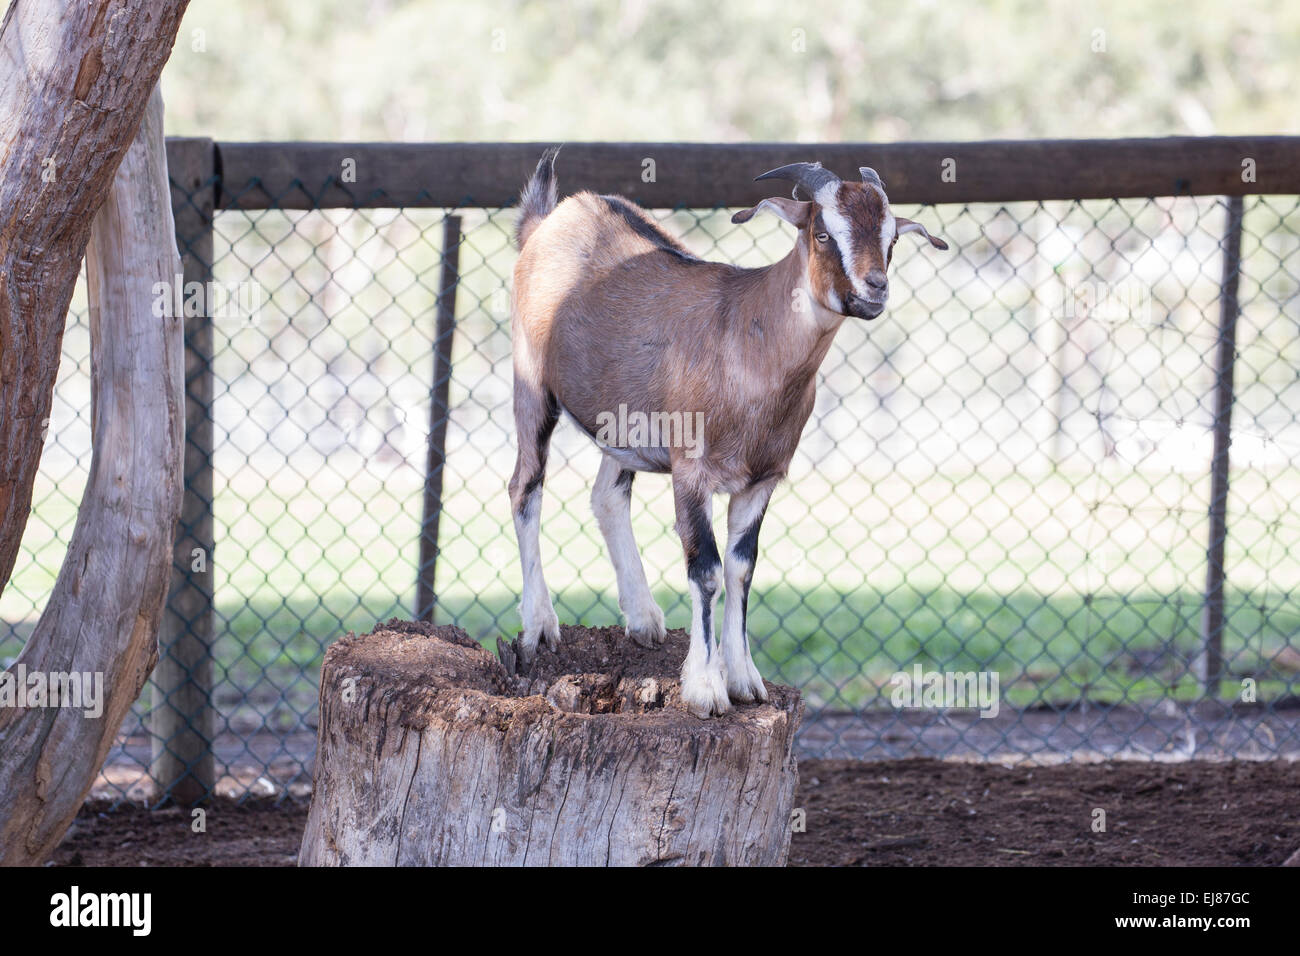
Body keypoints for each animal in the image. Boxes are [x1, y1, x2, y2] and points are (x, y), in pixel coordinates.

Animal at [509, 148, 948, 717]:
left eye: (892, 238)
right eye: (822, 233)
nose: (875, 289)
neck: (747, 336)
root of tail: (547, 220)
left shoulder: (762, 479)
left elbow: (742, 567)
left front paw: (744, 680)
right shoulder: (691, 472)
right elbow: (706, 569)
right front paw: (705, 688)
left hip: (622, 423)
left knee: (606, 496)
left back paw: (644, 618)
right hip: (532, 385)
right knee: (525, 487)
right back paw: (539, 624)